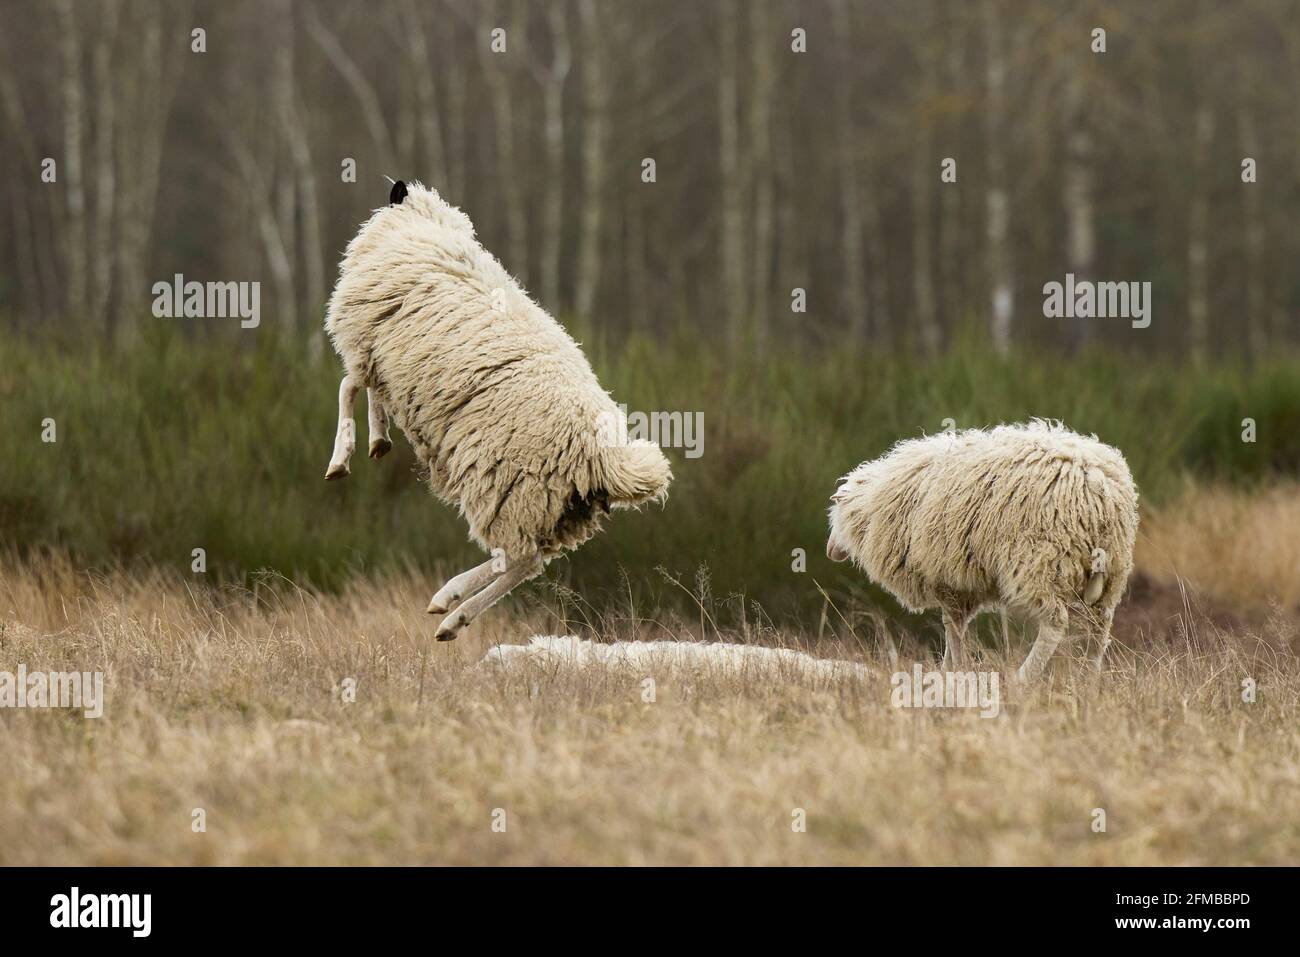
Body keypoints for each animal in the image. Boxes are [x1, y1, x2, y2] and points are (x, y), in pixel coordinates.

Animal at [323, 181, 672, 640]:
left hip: (509, 488)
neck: (423, 225)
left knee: (518, 559)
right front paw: (378, 440)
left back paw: (450, 603)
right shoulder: (387, 362)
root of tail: (605, 457)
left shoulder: (372, 345)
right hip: (555, 508)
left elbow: (347, 387)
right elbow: (368, 394)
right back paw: (454, 612)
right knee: (526, 563)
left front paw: (341, 457)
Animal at [826, 421, 1138, 682]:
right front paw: (950, 670)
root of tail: (1101, 494)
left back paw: (1024, 679)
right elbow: (956, 627)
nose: (830, 551)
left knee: (1055, 624)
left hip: (1041, 562)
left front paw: (953, 671)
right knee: (1099, 630)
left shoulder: (946, 577)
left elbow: (952, 628)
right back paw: (1088, 680)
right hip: (1110, 575)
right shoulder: (961, 586)